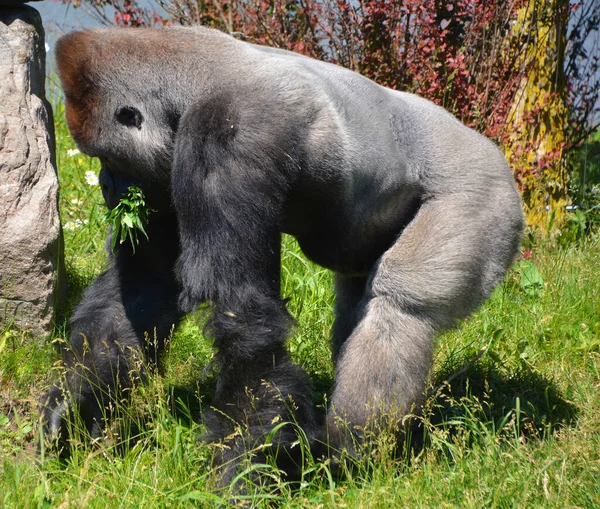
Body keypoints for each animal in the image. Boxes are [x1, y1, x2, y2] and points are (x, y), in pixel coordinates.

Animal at [42, 25, 524, 482]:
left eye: (107, 159)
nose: (106, 186)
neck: (190, 79)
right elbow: (147, 285)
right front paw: (74, 407)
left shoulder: (226, 137)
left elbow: (241, 312)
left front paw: (241, 464)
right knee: (357, 314)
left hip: (482, 192)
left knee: (401, 304)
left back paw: (347, 450)